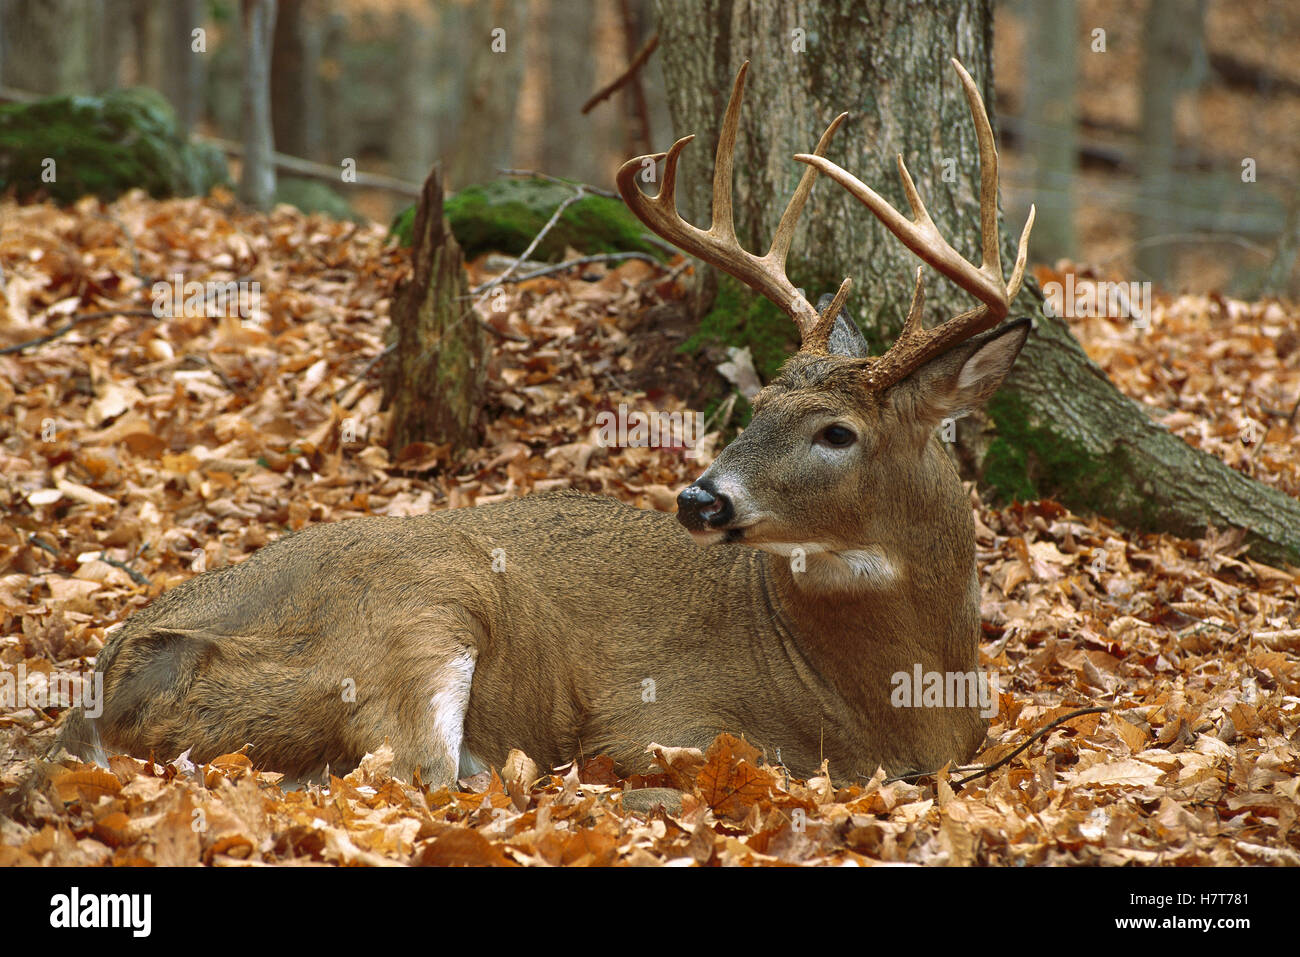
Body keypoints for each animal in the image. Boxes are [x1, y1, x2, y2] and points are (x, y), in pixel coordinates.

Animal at [54, 58, 1034, 789]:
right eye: (760, 407)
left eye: (836, 431)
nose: (701, 499)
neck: (895, 709)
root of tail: (110, 675)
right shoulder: (658, 719)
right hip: (418, 609)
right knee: (416, 769)